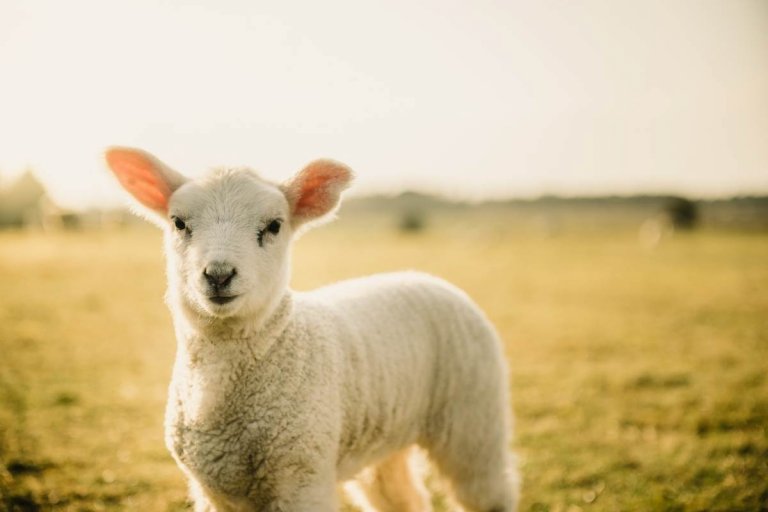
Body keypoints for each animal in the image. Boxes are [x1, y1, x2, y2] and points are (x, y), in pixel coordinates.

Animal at [105, 147, 519, 512]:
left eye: (274, 226)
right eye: (178, 223)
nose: (219, 275)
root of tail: (425, 276)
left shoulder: (301, 476)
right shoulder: (212, 489)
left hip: (474, 420)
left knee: (489, 491)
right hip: (387, 440)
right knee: (404, 498)